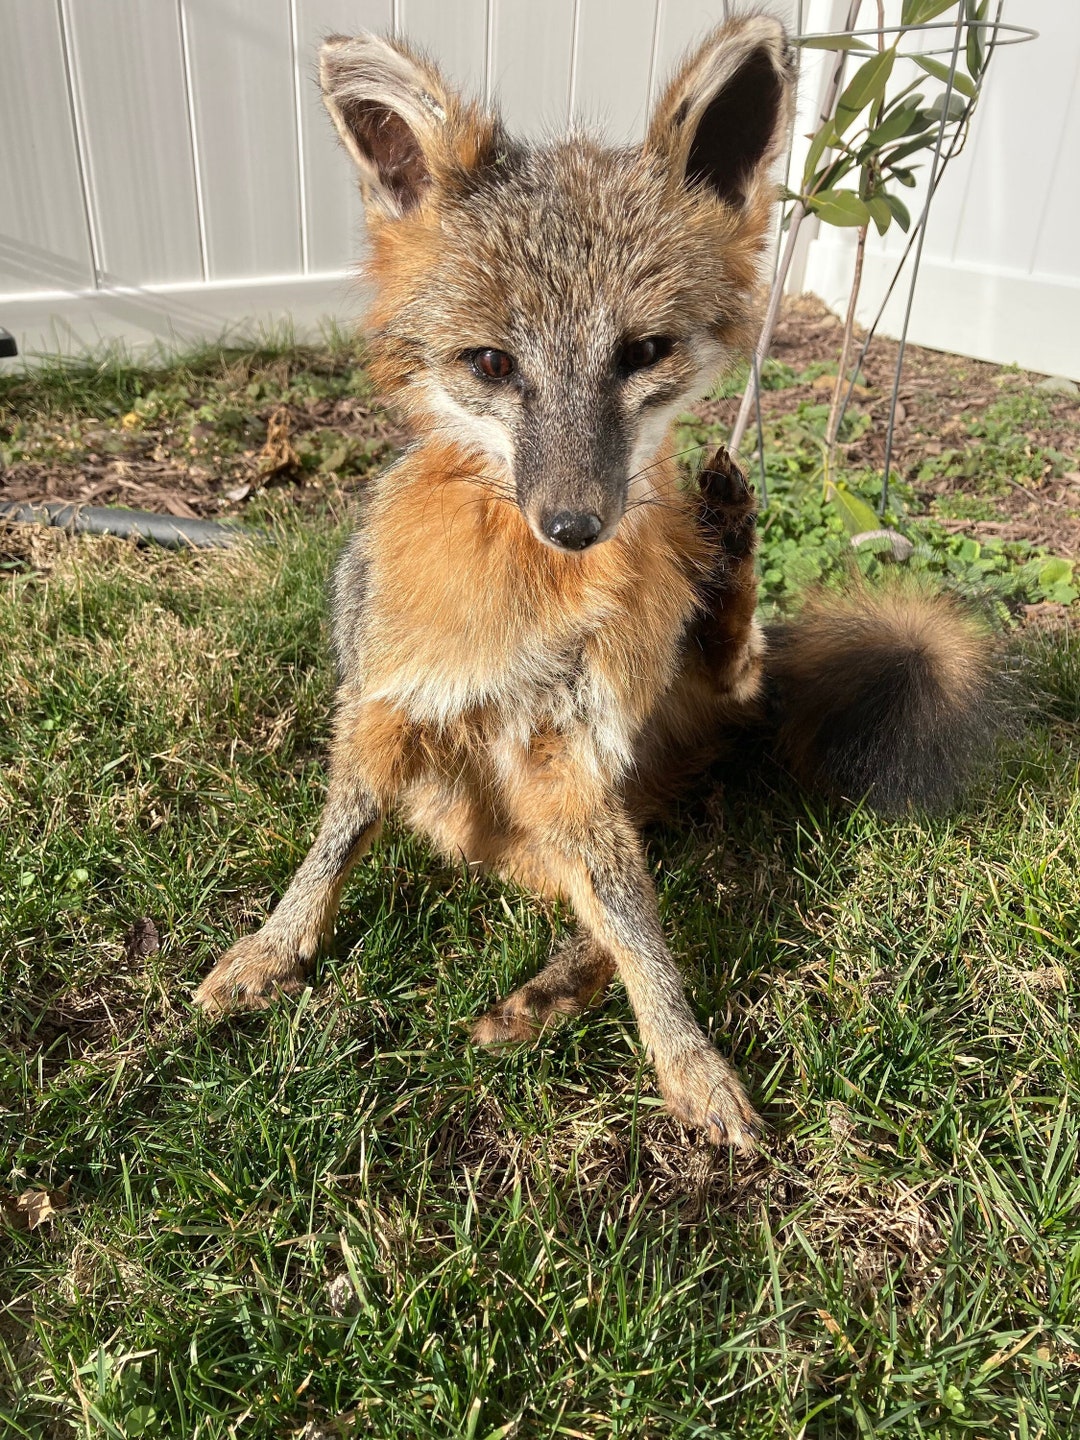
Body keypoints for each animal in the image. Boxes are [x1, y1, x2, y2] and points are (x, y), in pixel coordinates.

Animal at [193, 15, 995, 1151]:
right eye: (490, 363)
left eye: (643, 352)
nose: (574, 526)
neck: (522, 607)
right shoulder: (388, 715)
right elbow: (335, 846)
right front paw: (272, 950)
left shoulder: (570, 758)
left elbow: (643, 937)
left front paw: (687, 1060)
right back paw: (548, 989)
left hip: (644, 739)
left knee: (724, 694)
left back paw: (729, 541)